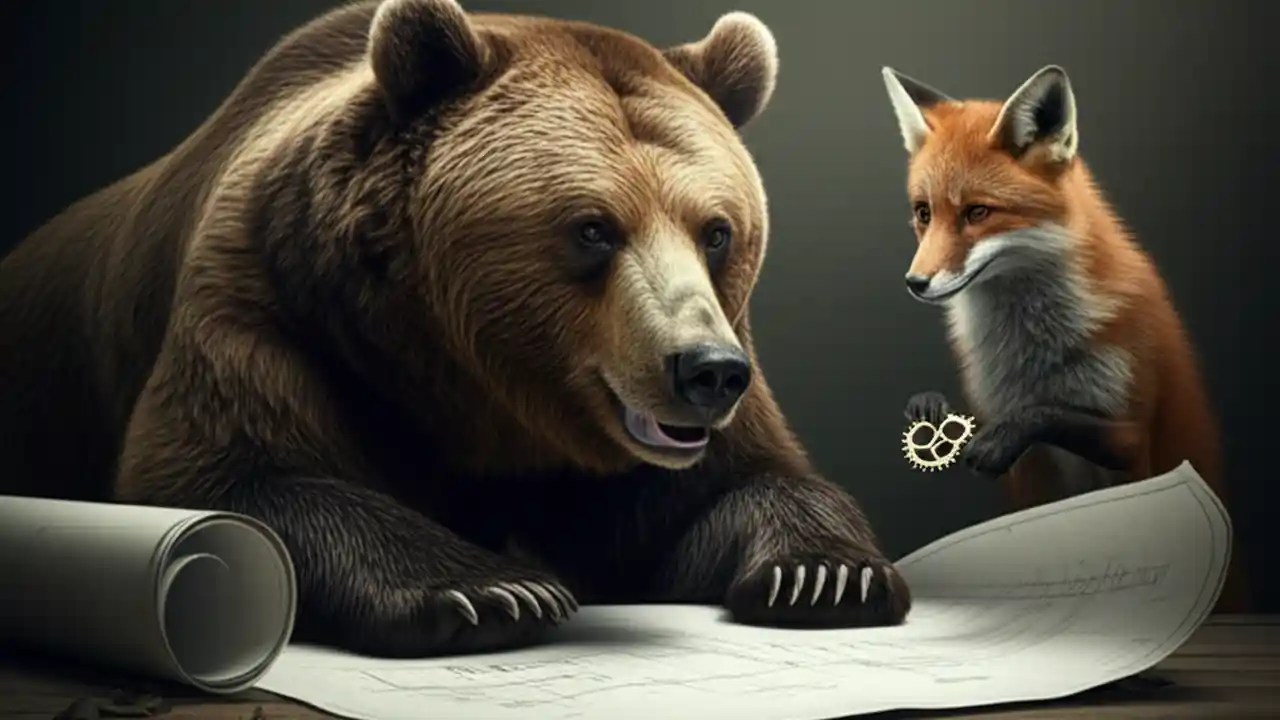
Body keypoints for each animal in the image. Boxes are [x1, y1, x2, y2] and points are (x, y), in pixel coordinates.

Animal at [0, 0, 910, 657]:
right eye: (593, 227)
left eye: (716, 230)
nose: (704, 369)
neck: (476, 389)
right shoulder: (272, 311)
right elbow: (227, 478)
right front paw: (494, 590)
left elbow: (729, 490)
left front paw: (826, 578)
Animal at [880, 64, 1251, 613]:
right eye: (924, 213)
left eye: (977, 213)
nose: (915, 283)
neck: (1034, 359)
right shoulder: (1024, 465)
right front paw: (930, 413)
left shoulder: (1131, 435)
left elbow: (1049, 416)